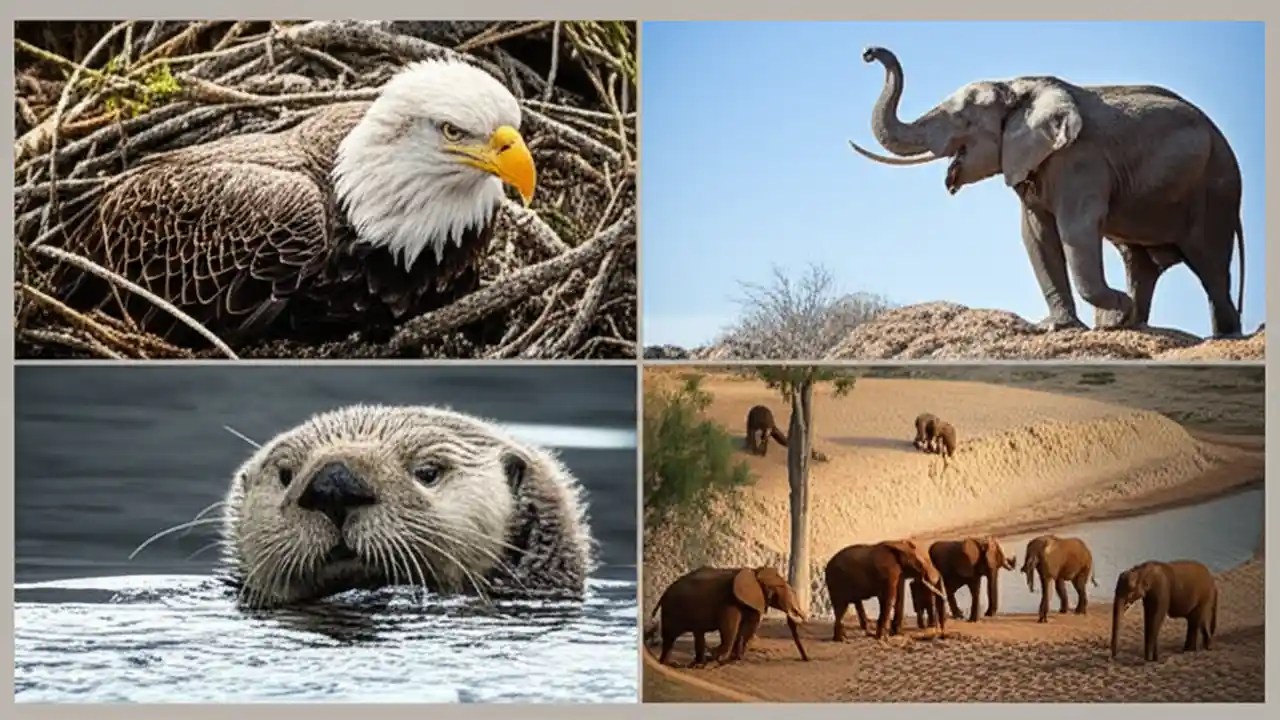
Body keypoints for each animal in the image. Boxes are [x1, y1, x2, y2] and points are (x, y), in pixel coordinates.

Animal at [652, 565, 809, 667]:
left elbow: (747, 627)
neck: (755, 572)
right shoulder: (730, 600)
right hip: (671, 609)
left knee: (696, 633)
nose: (806, 659)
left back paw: (694, 663)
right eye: (781, 587)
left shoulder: (753, 600)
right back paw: (669, 663)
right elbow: (730, 629)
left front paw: (731, 660)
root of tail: (663, 594)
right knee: (670, 637)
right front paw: (717, 658)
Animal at [849, 46, 1246, 338]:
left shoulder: (1080, 160)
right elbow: (1036, 234)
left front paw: (1112, 312)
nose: (868, 52)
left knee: (1210, 266)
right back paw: (1132, 322)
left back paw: (1219, 335)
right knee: (1141, 262)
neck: (1017, 87)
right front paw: (1063, 326)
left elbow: (1075, 230)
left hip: (1217, 188)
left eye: (962, 120)